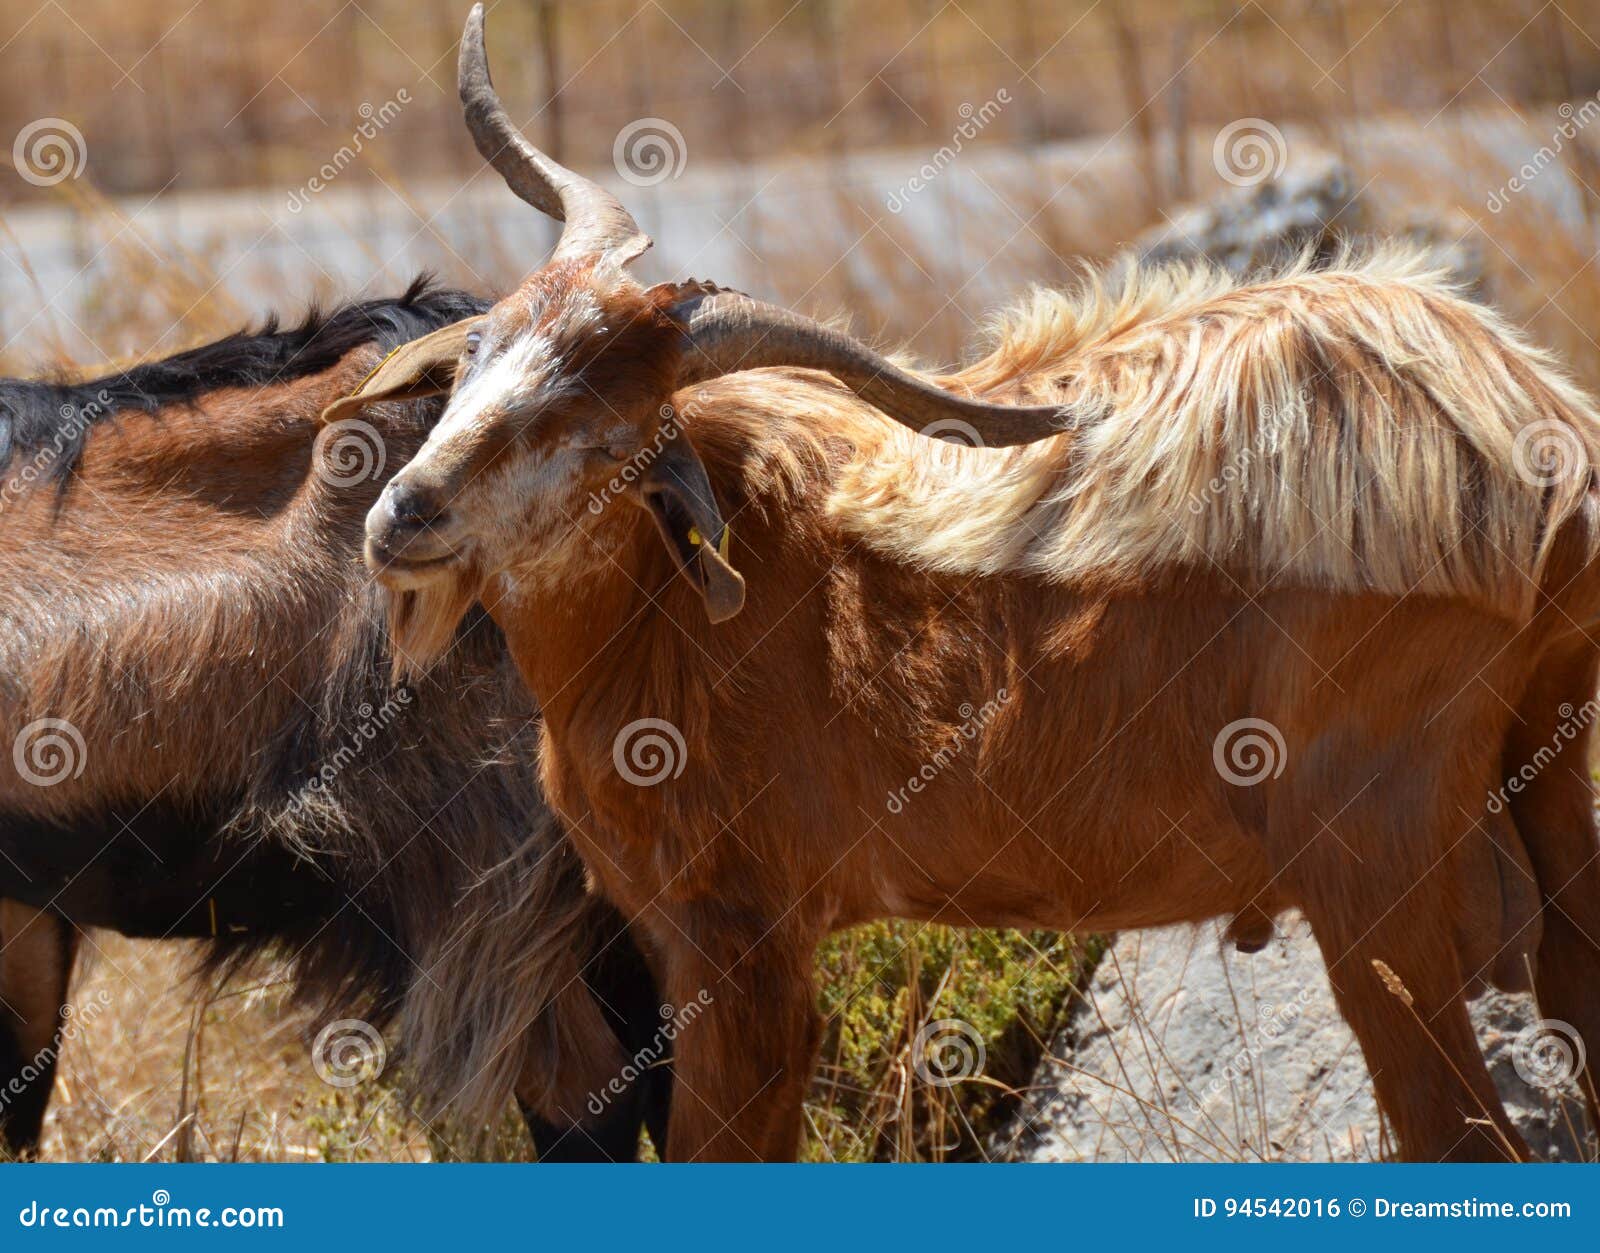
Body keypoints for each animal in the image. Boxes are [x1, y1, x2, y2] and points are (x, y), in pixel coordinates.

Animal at [354, 7, 1600, 1161]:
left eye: (610, 436)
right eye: (477, 358)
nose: (406, 514)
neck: (672, 610)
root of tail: (1534, 443)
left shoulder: (741, 943)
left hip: (1369, 865)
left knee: (1458, 1129)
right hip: (1543, 768)